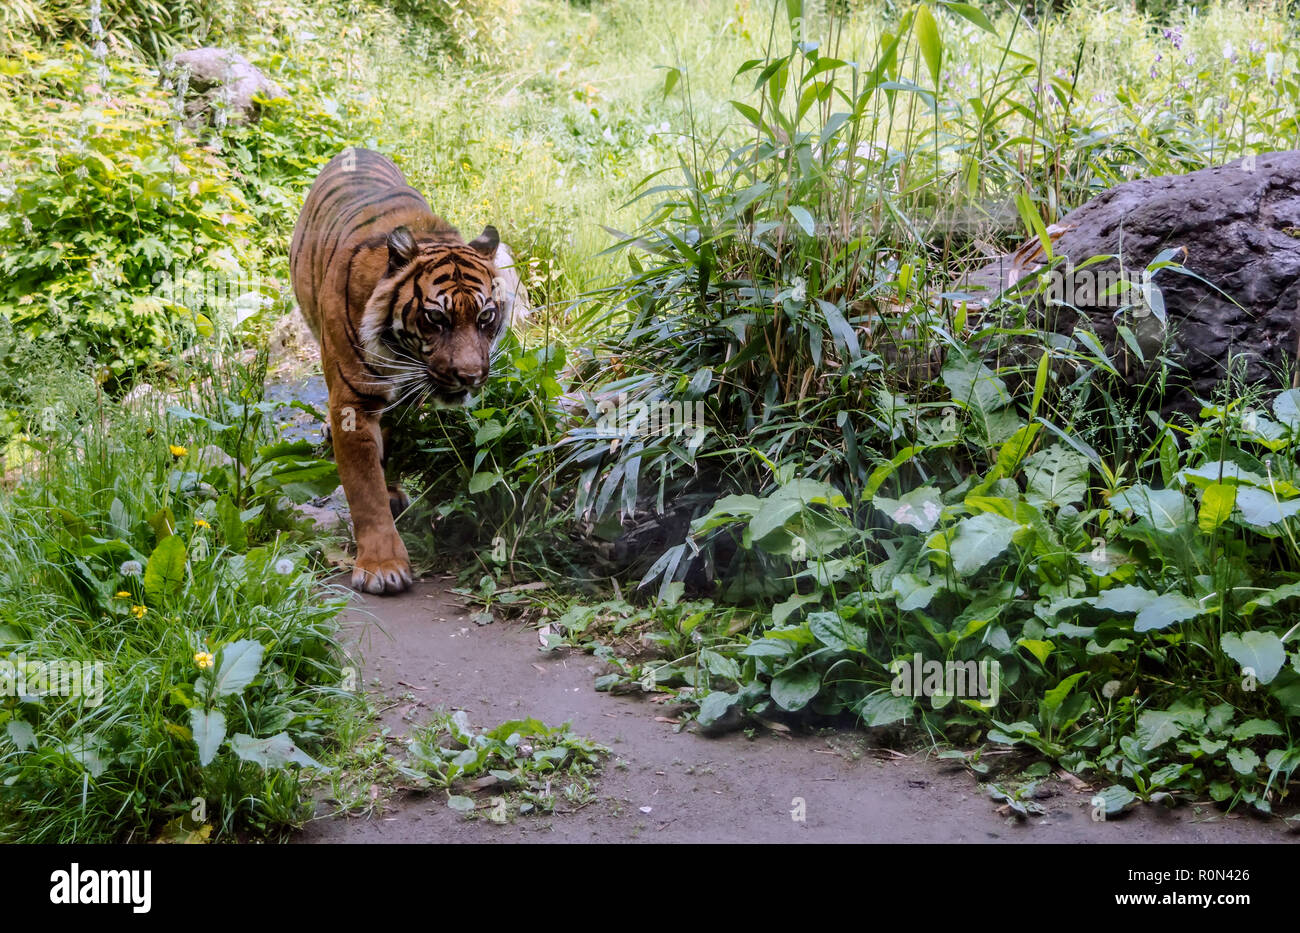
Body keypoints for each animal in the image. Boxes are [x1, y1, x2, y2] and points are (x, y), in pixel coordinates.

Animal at [289, 147, 510, 595]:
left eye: (485, 318)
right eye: (436, 319)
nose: (470, 376)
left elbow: (385, 453)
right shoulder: (353, 401)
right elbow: (363, 487)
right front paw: (382, 567)